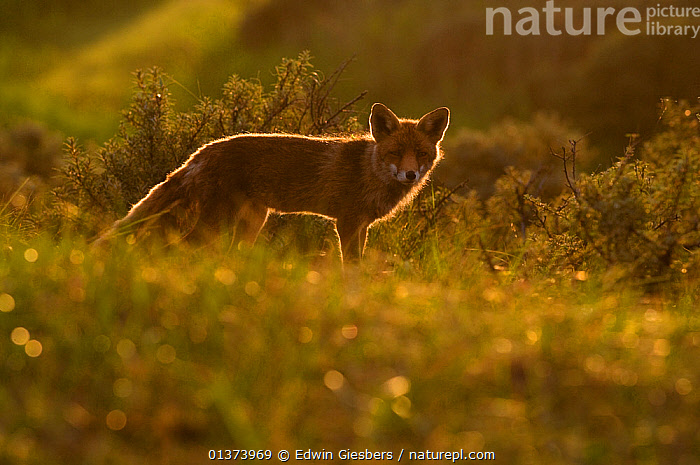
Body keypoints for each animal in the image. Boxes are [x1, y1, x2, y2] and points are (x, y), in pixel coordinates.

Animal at [98, 103, 450, 261]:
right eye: (395, 153)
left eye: (420, 153)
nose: (410, 175)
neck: (370, 172)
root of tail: (201, 151)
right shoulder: (347, 223)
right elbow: (352, 268)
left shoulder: (360, 225)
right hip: (216, 223)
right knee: (184, 246)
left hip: (251, 222)